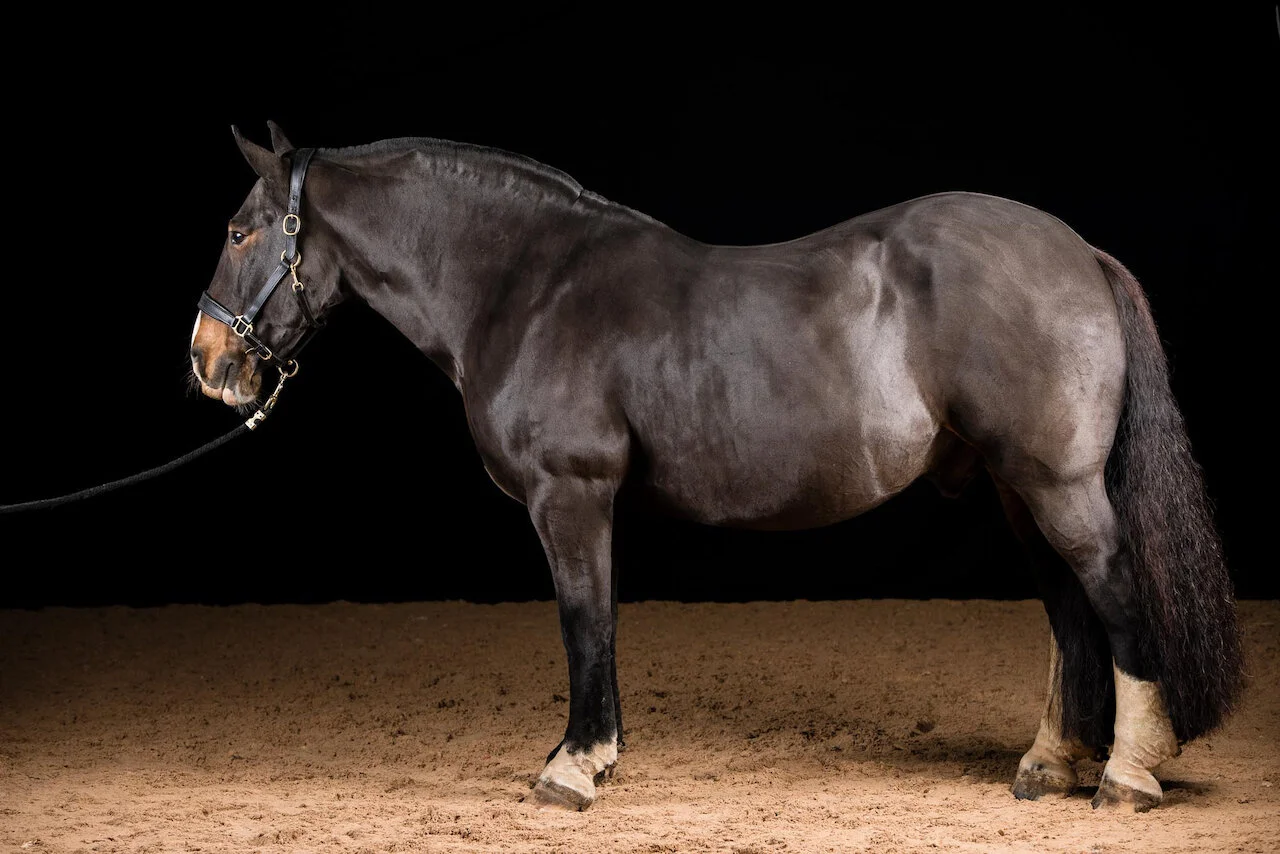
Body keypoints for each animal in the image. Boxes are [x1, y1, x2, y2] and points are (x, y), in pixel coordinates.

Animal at [191, 123, 1243, 813]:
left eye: (240, 230)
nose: (206, 361)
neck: (529, 286)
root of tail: (1078, 250)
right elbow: (597, 621)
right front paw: (589, 754)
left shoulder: (571, 497)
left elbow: (584, 620)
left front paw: (575, 767)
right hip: (1019, 493)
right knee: (1069, 613)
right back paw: (1050, 765)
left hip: (1058, 487)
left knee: (1113, 597)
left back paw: (1126, 776)